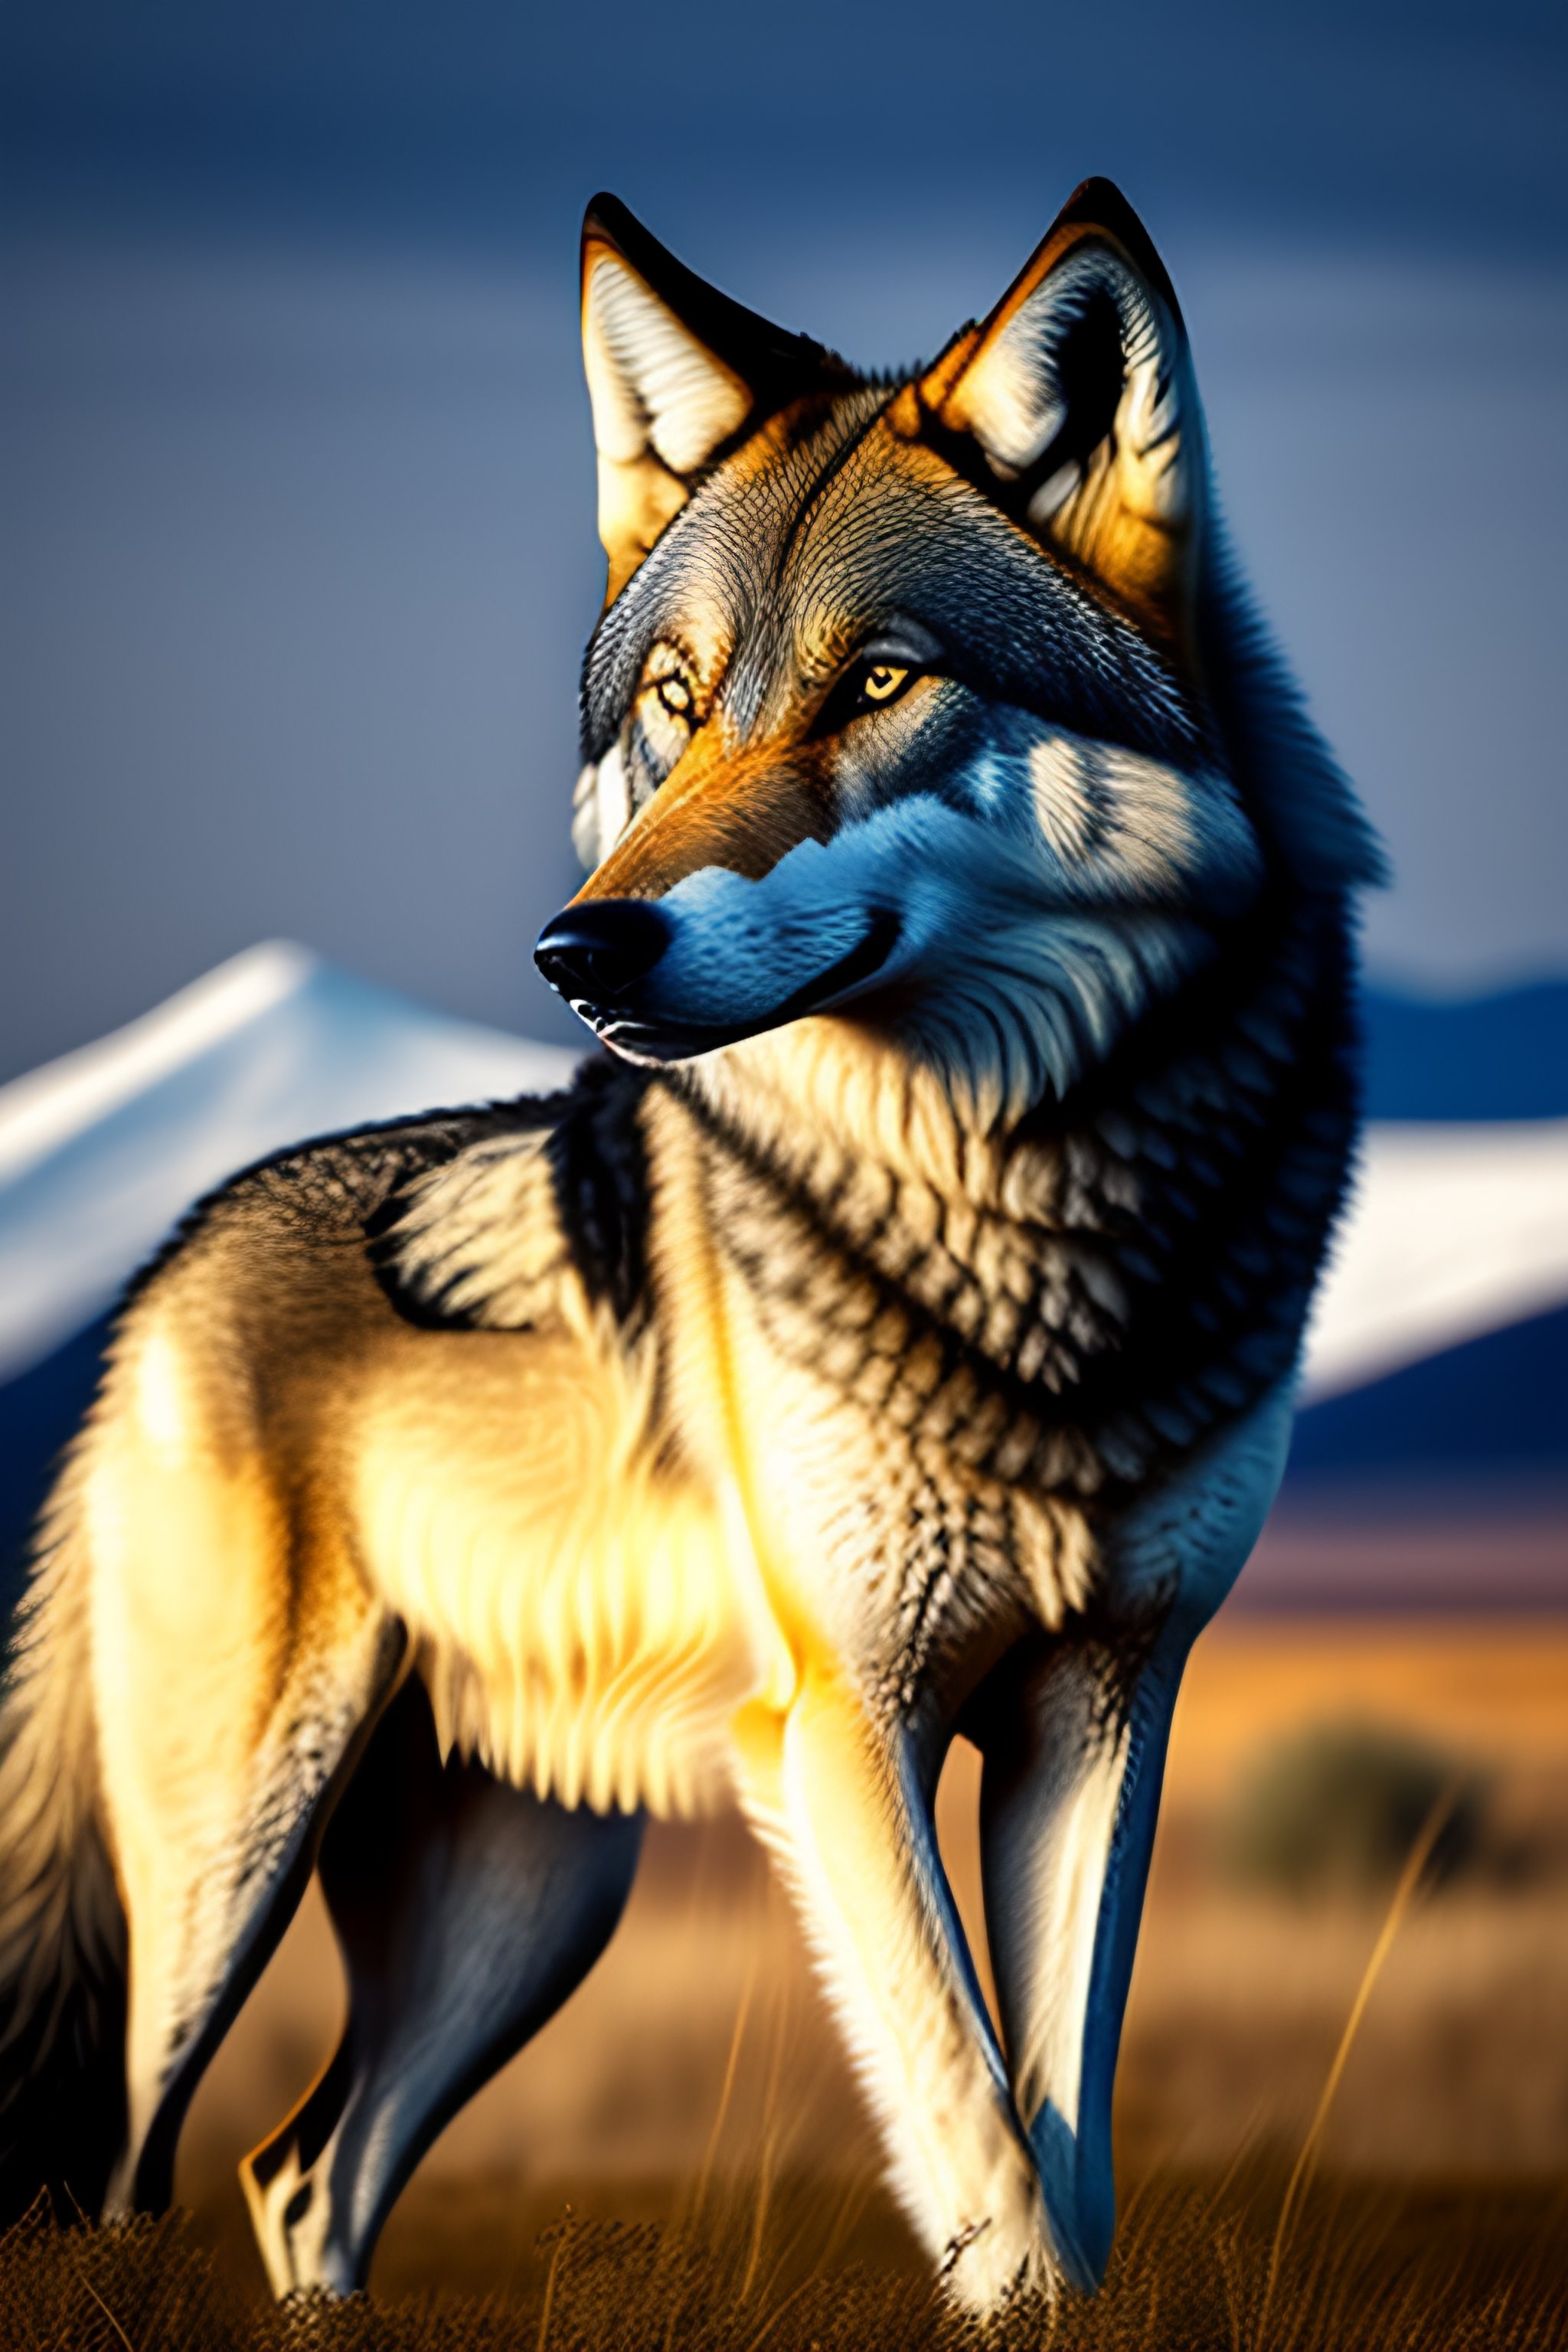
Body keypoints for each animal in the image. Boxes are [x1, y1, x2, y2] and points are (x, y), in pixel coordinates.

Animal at [0, 180, 1378, 2309]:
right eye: (674, 695)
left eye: (878, 682)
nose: (578, 951)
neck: (1031, 1219)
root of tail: (171, 1256)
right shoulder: (841, 1718)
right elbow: (981, 2149)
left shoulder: (1099, 1706)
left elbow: (1062, 2160)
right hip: (220, 1883)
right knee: (143, 2181)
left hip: (525, 1902)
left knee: (304, 2173)